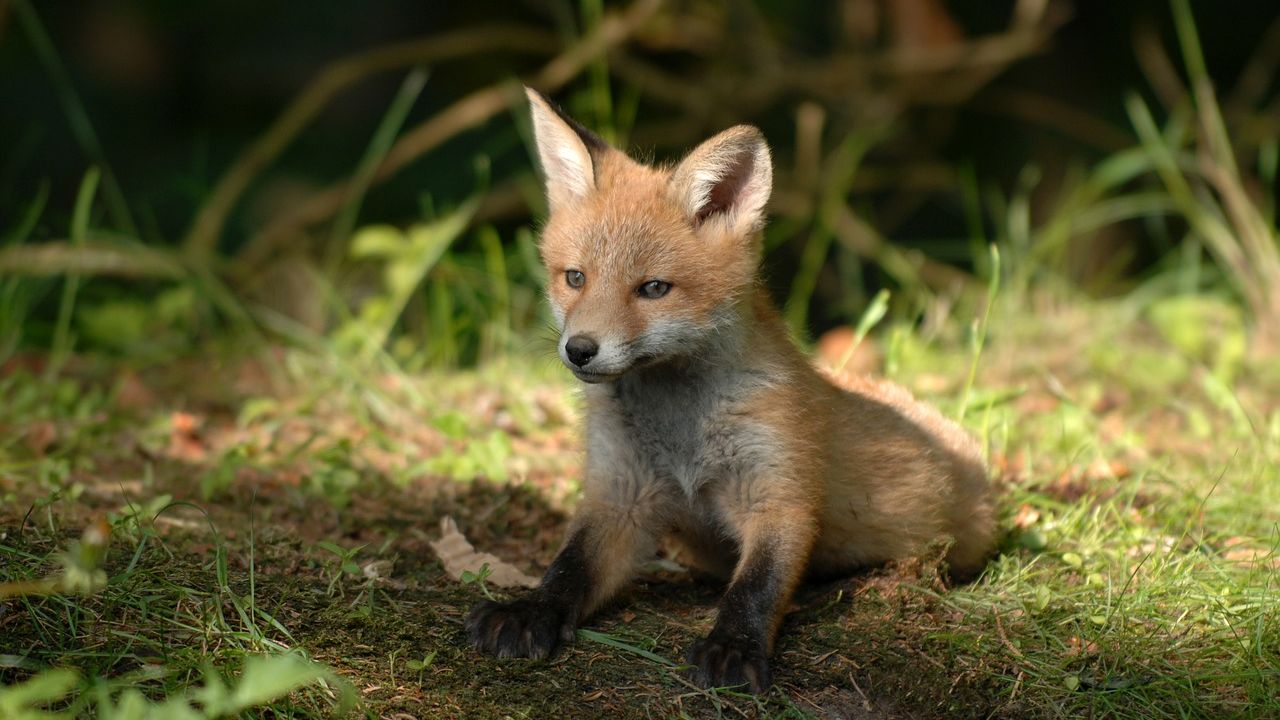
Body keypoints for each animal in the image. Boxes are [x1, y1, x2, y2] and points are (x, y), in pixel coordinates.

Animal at [466, 88, 996, 693]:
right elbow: (568, 567)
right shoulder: (619, 495)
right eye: (574, 278)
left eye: (653, 289)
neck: (681, 427)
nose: (579, 349)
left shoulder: (778, 493)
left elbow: (756, 586)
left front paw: (734, 647)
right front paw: (530, 610)